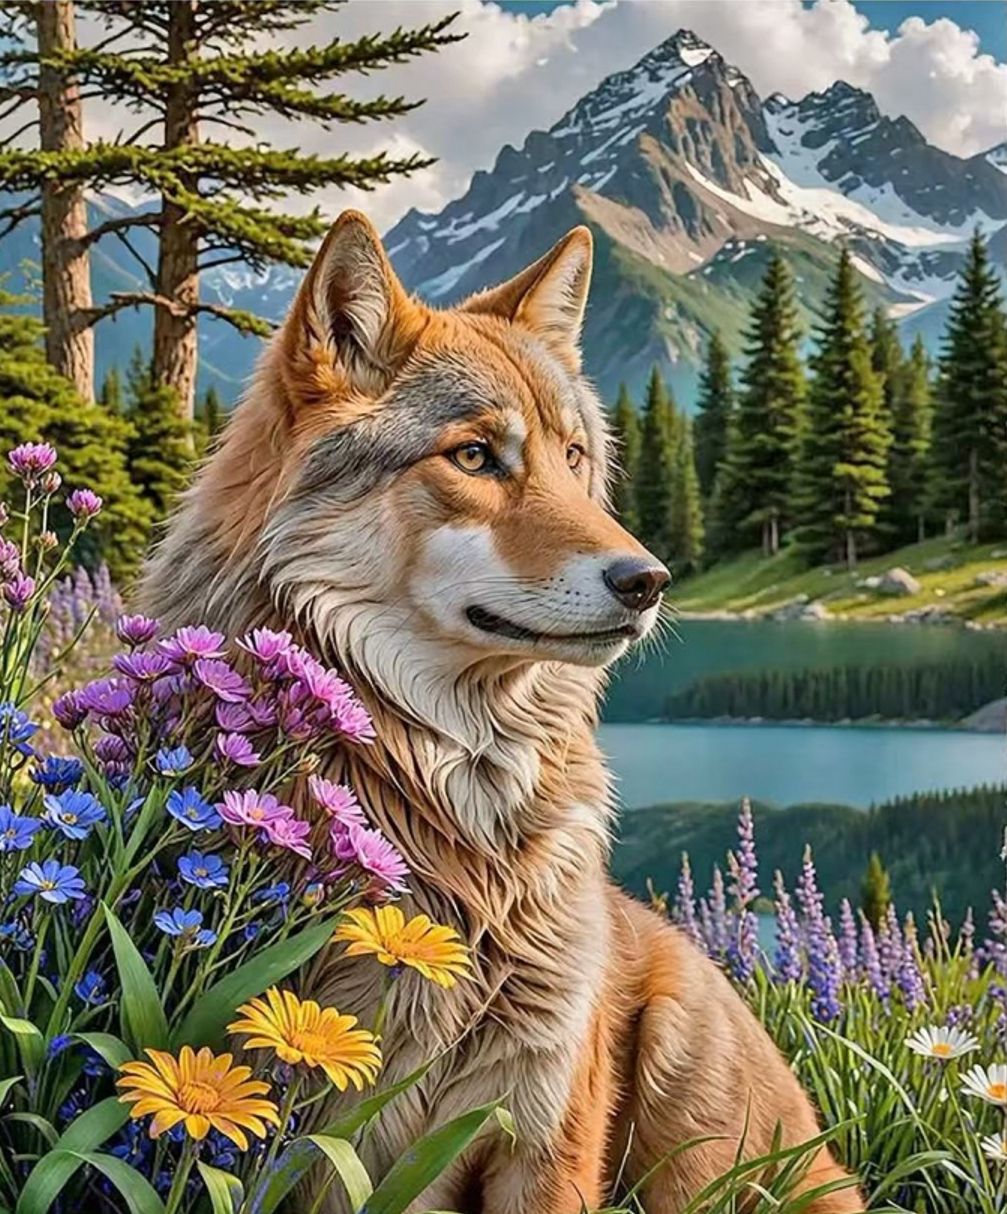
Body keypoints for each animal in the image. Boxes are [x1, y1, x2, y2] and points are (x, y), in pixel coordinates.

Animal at [141, 211, 864, 1213]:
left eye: (573, 458)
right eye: (476, 456)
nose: (649, 581)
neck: (468, 795)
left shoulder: (546, 1129)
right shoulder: (315, 1135)